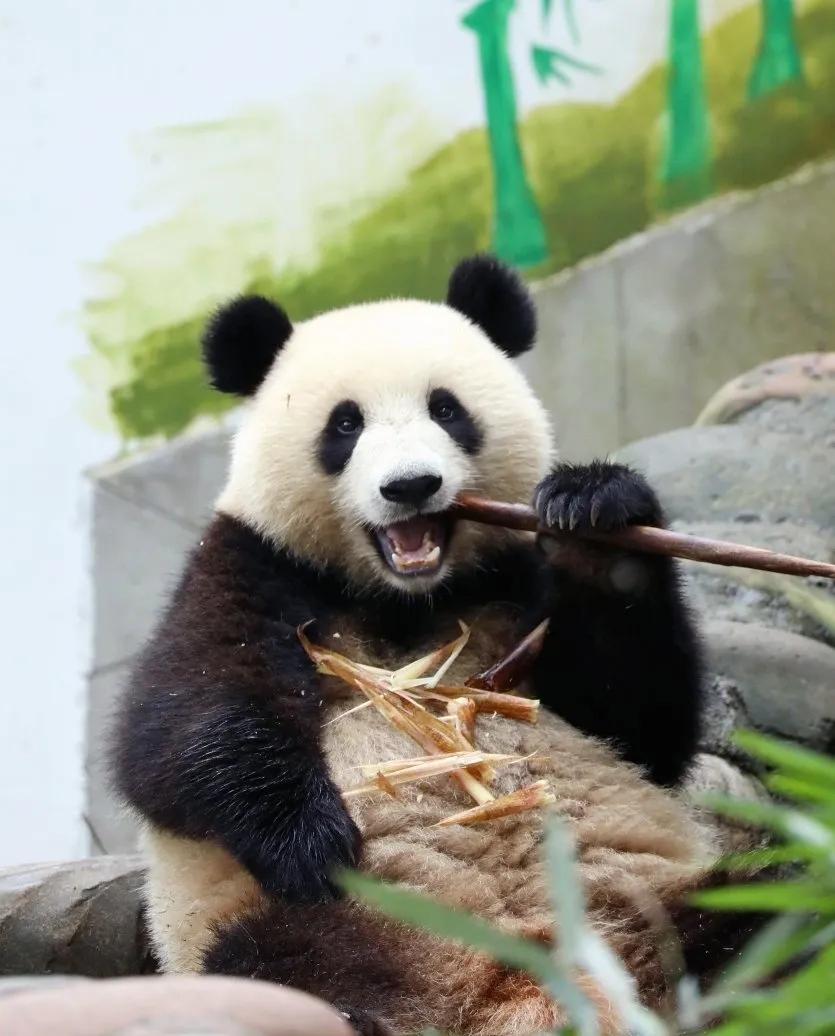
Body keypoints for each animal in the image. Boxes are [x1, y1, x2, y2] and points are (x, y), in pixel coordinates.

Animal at [112, 256, 746, 1036]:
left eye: (447, 410)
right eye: (345, 424)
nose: (411, 486)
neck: (409, 598)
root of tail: (517, 986)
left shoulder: (510, 582)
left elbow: (637, 722)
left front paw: (592, 512)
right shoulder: (249, 562)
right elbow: (178, 729)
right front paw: (308, 836)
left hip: (653, 901)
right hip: (310, 928)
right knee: (279, 979)